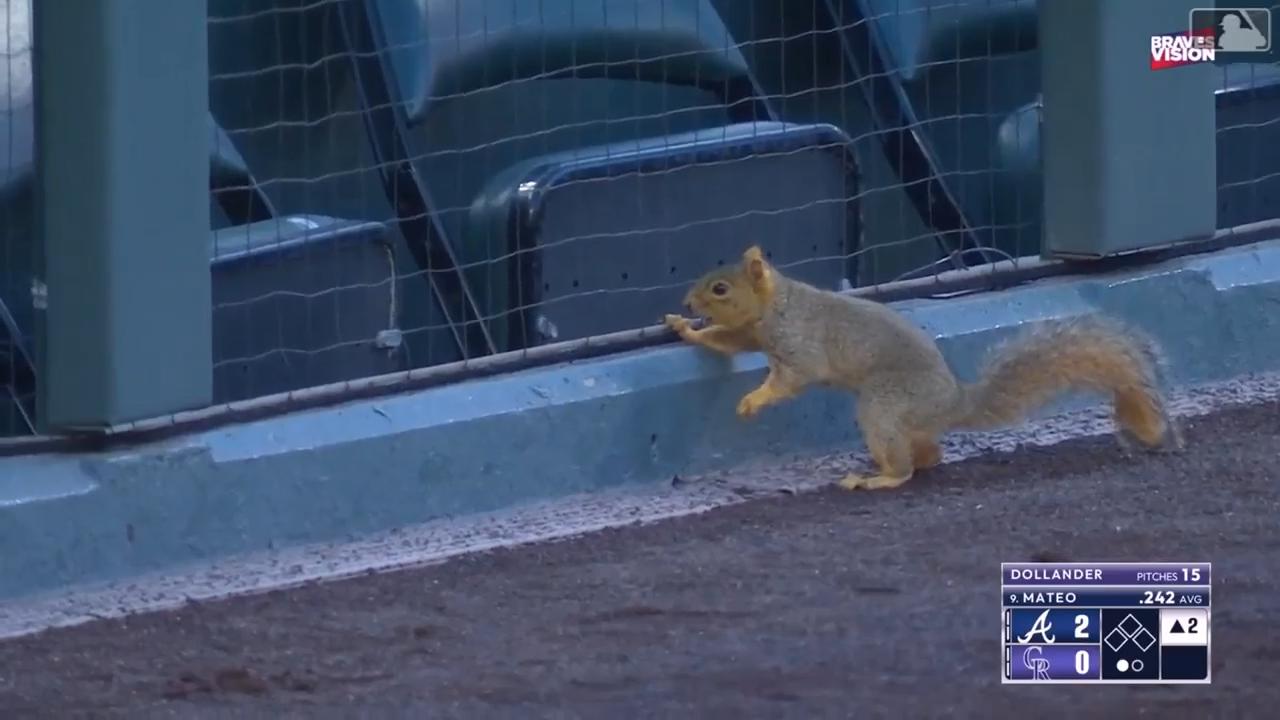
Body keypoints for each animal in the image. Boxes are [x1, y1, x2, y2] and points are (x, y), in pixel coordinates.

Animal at [664, 246, 1182, 491]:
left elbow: (792, 379)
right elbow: (726, 341)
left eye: (721, 289)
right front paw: (685, 328)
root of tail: (953, 401)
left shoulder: (799, 344)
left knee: (907, 466)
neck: (779, 304)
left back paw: (880, 477)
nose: (687, 302)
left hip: (884, 404)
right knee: (929, 454)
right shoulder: (752, 333)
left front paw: (754, 399)